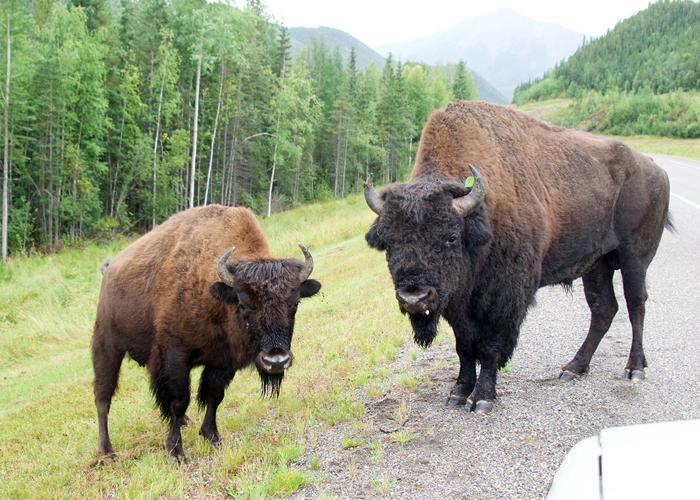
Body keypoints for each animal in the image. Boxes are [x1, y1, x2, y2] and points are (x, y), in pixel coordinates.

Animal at [92, 205, 321, 458]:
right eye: (243, 304)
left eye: (295, 303)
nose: (276, 360)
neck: (215, 294)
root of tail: (108, 271)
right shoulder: (175, 357)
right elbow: (179, 400)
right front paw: (176, 451)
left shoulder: (222, 361)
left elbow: (214, 396)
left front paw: (212, 436)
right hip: (106, 347)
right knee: (103, 398)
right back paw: (106, 452)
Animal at [364, 101, 671, 414]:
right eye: (388, 242)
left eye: (450, 236)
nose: (414, 298)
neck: (479, 215)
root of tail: (656, 169)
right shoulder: (456, 302)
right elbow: (464, 346)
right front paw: (459, 393)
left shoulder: (503, 299)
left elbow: (489, 347)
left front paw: (482, 399)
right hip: (596, 265)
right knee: (603, 309)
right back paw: (573, 368)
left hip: (634, 259)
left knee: (636, 305)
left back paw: (634, 369)